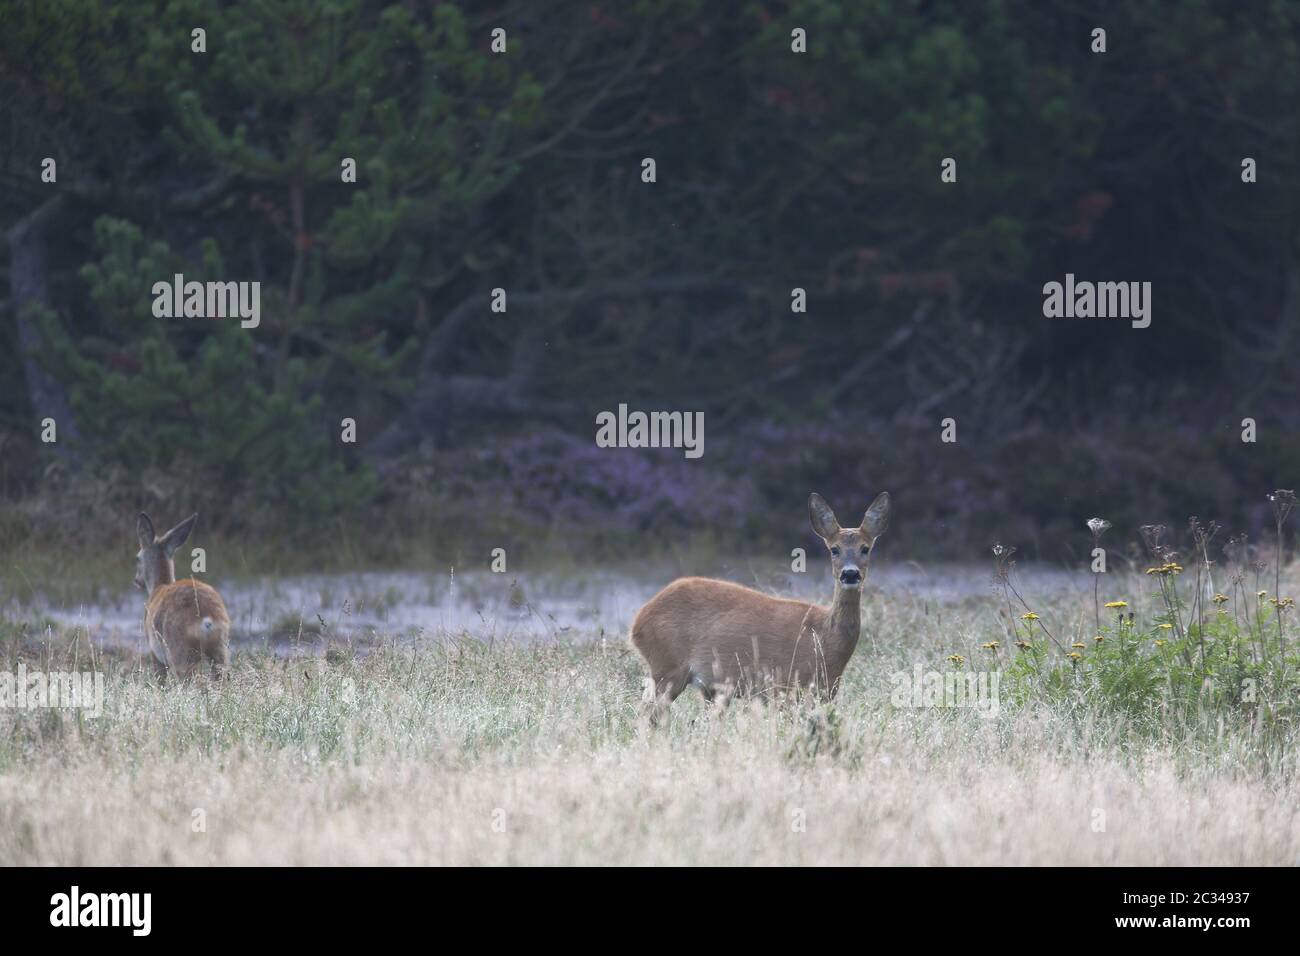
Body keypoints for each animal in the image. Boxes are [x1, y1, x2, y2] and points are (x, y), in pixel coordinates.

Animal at [133, 512, 230, 680]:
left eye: (137, 558)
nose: (136, 581)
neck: (158, 587)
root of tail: (208, 619)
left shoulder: (154, 652)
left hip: (180, 652)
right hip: (220, 649)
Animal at [630, 492, 890, 723]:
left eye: (865, 548)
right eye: (834, 549)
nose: (850, 574)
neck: (825, 640)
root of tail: (638, 622)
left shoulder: (826, 691)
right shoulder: (785, 683)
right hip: (667, 665)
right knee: (647, 715)